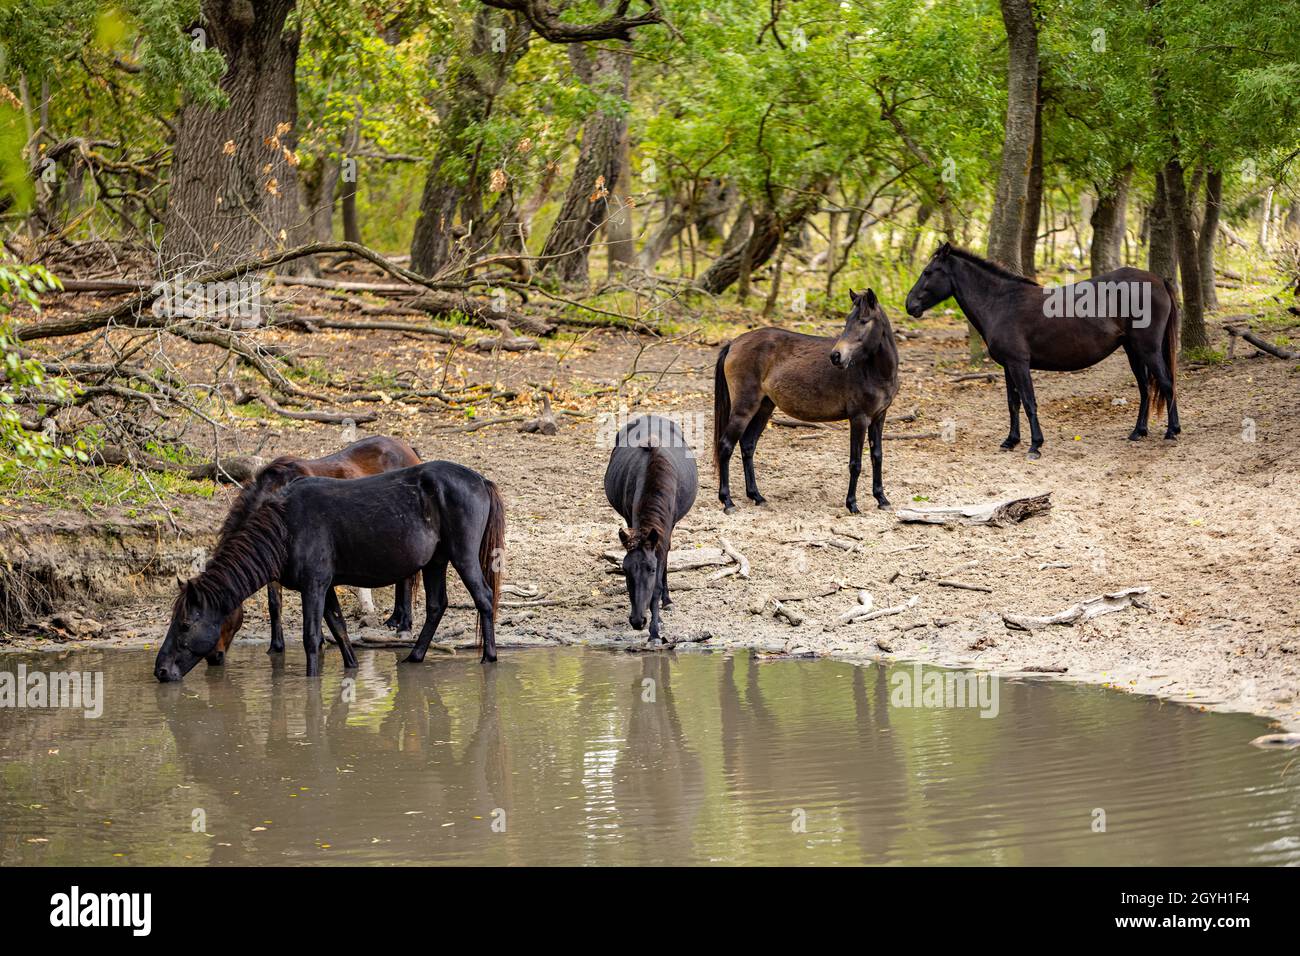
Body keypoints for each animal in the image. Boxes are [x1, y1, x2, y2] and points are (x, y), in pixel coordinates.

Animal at [154, 461, 505, 681]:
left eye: (184, 625)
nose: (160, 671)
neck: (285, 527)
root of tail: (480, 480)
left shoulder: (314, 585)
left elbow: (312, 638)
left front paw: (313, 681)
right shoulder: (326, 586)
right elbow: (338, 626)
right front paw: (351, 666)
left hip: (462, 556)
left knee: (484, 598)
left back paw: (489, 657)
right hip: (435, 561)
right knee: (436, 606)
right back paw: (414, 657)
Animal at [204, 435, 421, 666]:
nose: (214, 658)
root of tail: (408, 449)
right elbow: (274, 603)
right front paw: (276, 646)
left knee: (407, 580)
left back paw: (404, 626)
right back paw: (395, 619)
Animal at [604, 415, 699, 644]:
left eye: (651, 569)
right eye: (624, 569)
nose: (638, 621)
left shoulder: (665, 533)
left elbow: (657, 583)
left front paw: (655, 629)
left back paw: (667, 601)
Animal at [713, 288, 899, 514]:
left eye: (863, 321)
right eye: (847, 320)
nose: (836, 356)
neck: (875, 372)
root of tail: (733, 343)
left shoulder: (879, 417)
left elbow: (877, 456)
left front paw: (882, 499)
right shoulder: (859, 419)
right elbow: (856, 463)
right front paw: (852, 504)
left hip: (764, 407)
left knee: (748, 445)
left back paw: (756, 496)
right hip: (744, 408)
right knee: (725, 446)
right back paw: (727, 501)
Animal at [904, 242, 1180, 458]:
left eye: (929, 272)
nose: (909, 305)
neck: (1001, 303)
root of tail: (1158, 280)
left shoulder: (1019, 364)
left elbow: (1028, 402)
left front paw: (1035, 445)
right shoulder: (1008, 367)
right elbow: (1012, 403)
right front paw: (1011, 441)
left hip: (1148, 349)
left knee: (1166, 383)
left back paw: (1172, 431)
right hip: (1133, 351)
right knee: (1145, 389)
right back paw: (1138, 432)